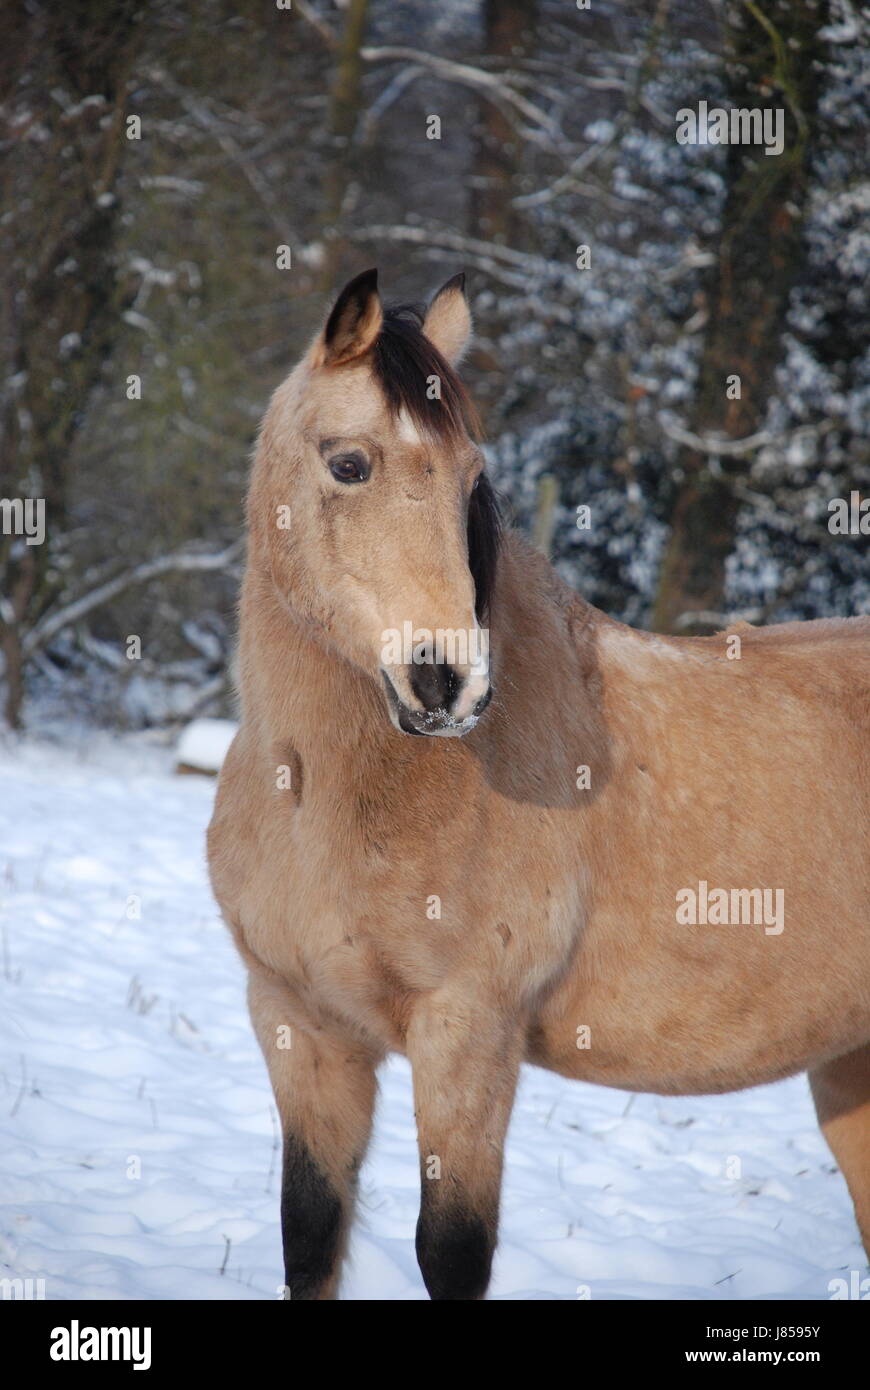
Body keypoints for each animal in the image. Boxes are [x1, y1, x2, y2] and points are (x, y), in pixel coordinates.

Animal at [207, 267, 870, 1300]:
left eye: (472, 480)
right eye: (349, 465)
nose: (449, 684)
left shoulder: (468, 1033)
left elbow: (452, 1251)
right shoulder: (299, 1025)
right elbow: (310, 1235)